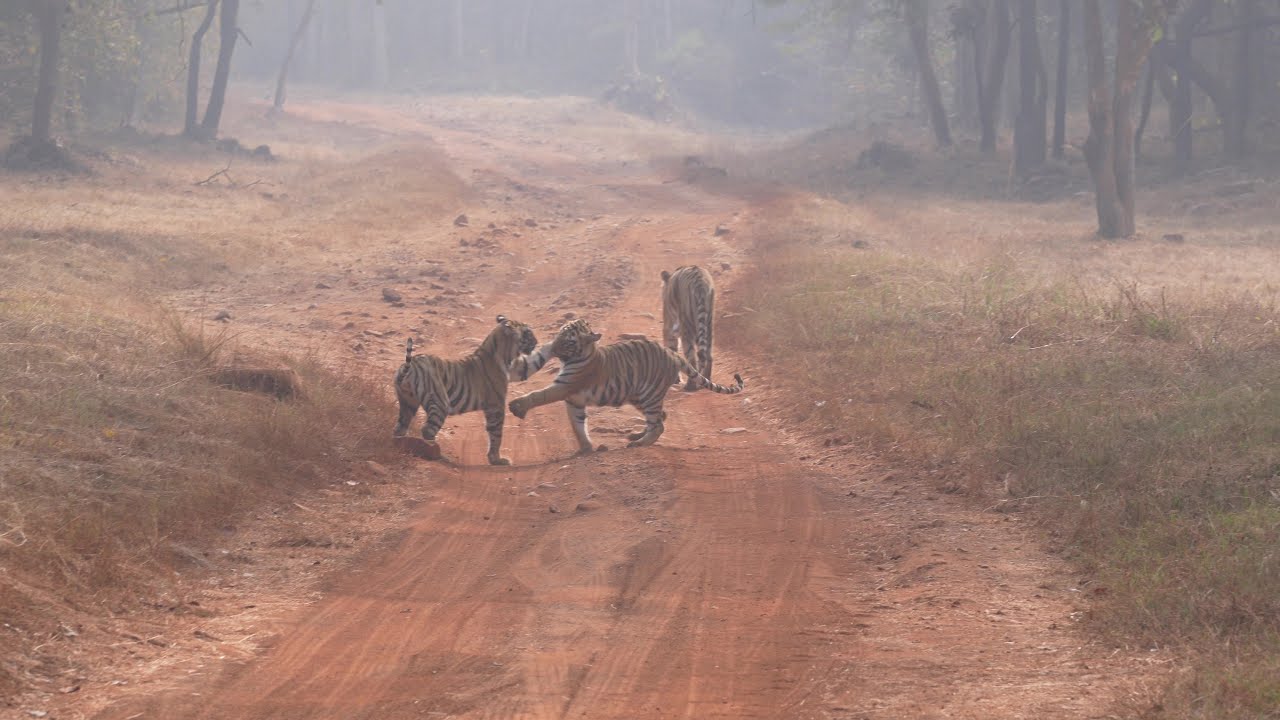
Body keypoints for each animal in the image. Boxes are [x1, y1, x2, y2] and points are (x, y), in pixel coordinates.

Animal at [394, 315, 546, 466]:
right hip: (440, 402)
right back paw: (438, 455)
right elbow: (496, 433)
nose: (536, 342)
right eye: (528, 332)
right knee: (427, 430)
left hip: (407, 403)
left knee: (400, 428)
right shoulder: (495, 405)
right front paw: (497, 459)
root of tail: (409, 366)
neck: (506, 355)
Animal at [507, 319, 744, 454]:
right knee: (661, 417)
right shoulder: (574, 400)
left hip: (649, 396)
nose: (554, 348)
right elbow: (578, 425)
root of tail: (672, 353)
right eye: (559, 334)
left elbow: (539, 395)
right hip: (640, 397)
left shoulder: (565, 387)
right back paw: (636, 436)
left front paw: (517, 406)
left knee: (658, 424)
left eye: (568, 340)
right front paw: (586, 449)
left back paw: (639, 443)